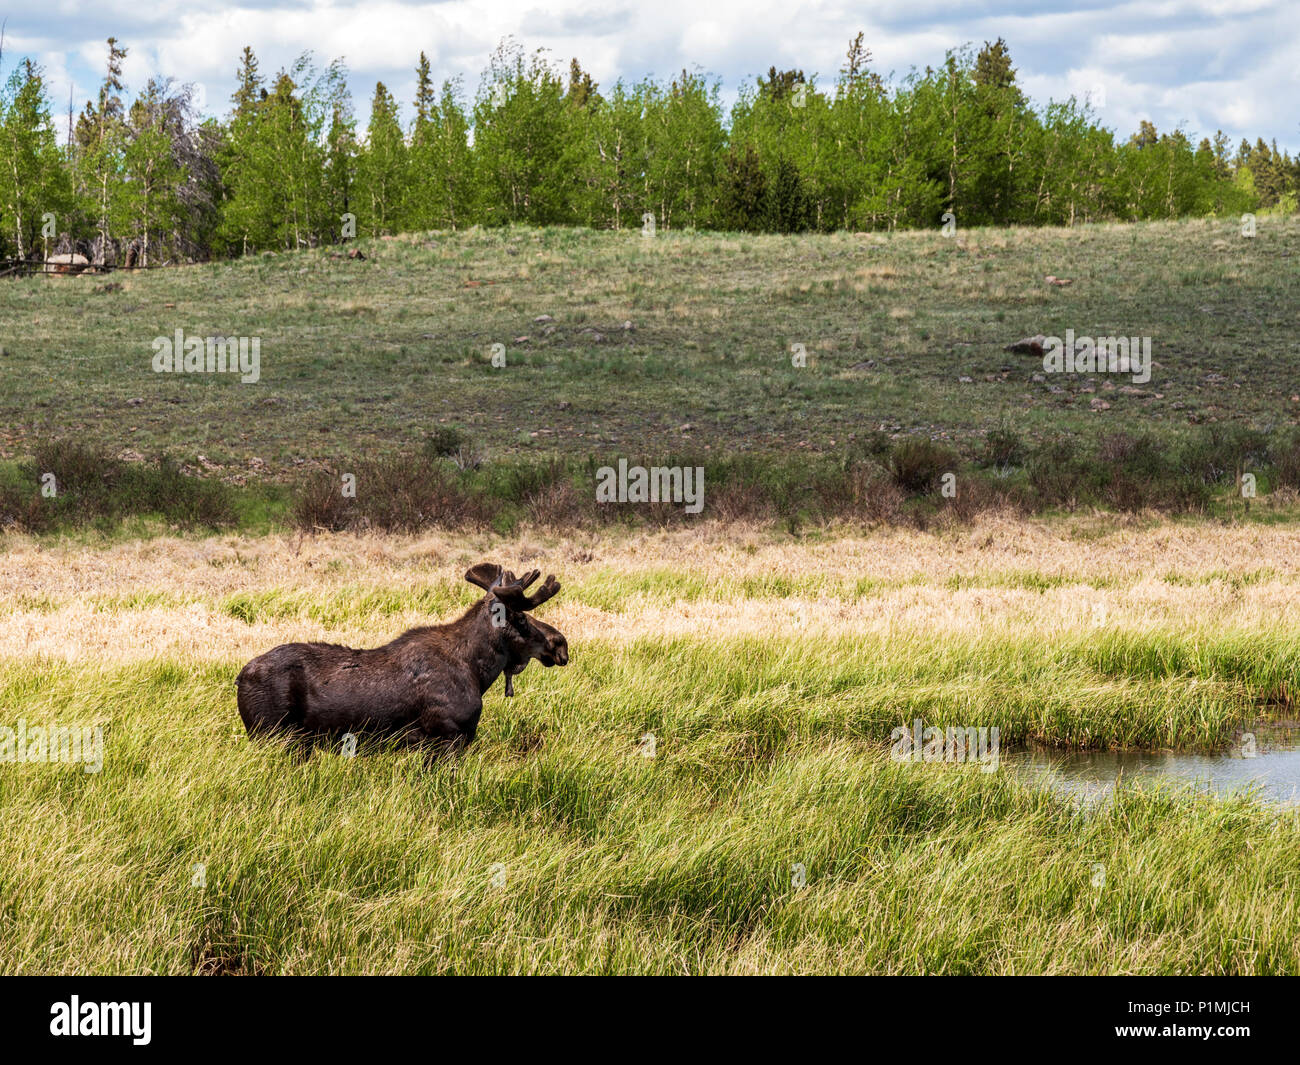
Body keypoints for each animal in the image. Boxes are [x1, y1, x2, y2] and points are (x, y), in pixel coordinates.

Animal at [235, 563, 568, 754]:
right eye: (521, 618)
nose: (560, 644)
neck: (478, 672)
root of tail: (239, 677)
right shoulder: (447, 737)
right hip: (271, 736)